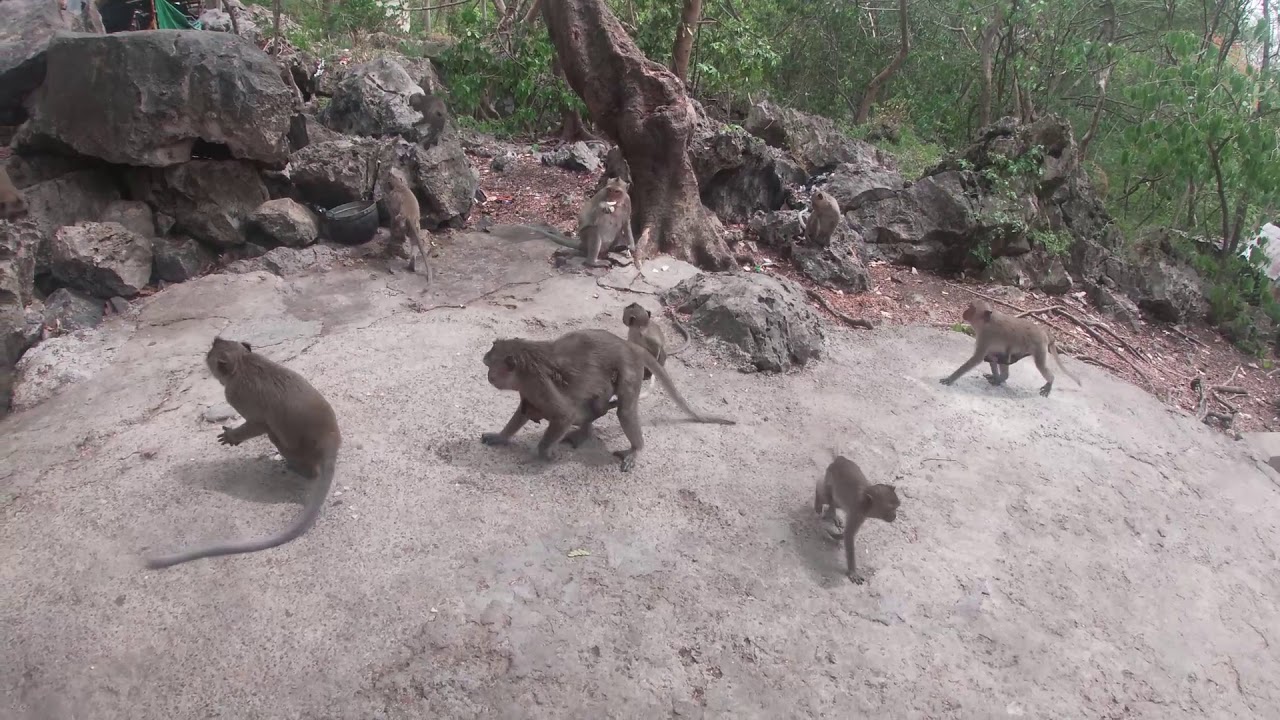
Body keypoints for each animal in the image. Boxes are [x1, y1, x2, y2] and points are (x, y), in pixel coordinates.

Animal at [144, 337, 341, 569]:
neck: (243, 362)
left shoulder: (235, 396)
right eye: (217, 342)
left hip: (292, 446)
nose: (209, 348)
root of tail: (330, 441)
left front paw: (231, 436)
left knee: (277, 438)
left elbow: (258, 424)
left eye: (211, 353)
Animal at [480, 329, 734, 472]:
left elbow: (564, 415)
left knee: (625, 411)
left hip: (630, 371)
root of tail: (630, 346)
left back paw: (636, 448)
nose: (485, 364)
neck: (525, 364)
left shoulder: (538, 383)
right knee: (589, 406)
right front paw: (501, 437)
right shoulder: (528, 389)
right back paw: (586, 430)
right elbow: (524, 411)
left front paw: (545, 454)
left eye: (492, 363)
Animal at [813, 453, 900, 584]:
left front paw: (836, 535)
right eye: (890, 509)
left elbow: (848, 534)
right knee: (826, 496)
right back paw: (818, 499)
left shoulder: (862, 515)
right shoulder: (857, 512)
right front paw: (852, 572)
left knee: (835, 501)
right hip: (830, 476)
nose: (894, 515)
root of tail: (841, 459)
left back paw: (832, 513)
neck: (866, 502)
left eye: (897, 507)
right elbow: (849, 535)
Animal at [939, 299, 1082, 397]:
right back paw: (1001, 378)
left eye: (972, 308)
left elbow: (977, 359)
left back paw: (1050, 382)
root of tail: (1043, 331)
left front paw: (950, 379)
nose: (965, 311)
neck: (986, 322)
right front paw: (997, 377)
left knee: (1040, 365)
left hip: (1039, 346)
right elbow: (992, 356)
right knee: (1003, 356)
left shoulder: (986, 336)